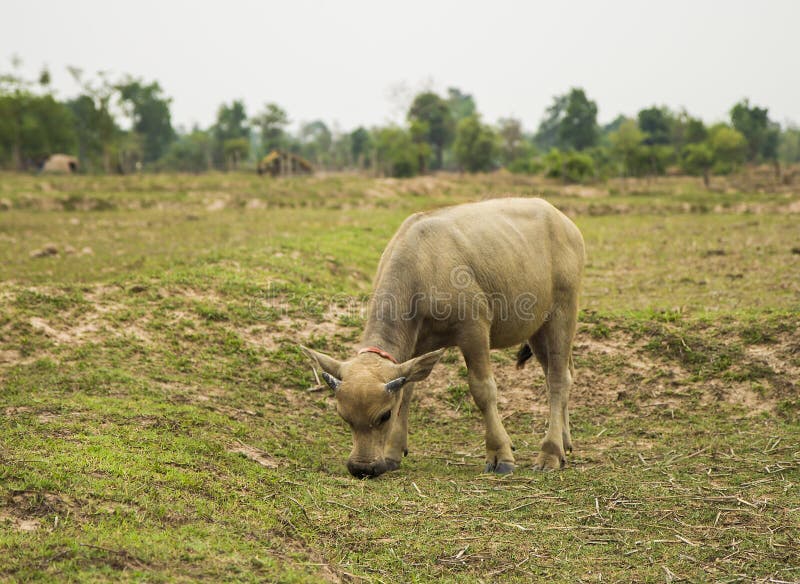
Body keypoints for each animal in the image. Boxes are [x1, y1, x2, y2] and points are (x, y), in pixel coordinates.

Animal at [301, 197, 585, 478]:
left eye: (384, 415)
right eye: (344, 416)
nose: (362, 468)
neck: (423, 267)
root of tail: (565, 222)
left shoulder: (474, 330)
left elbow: (483, 390)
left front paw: (500, 455)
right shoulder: (415, 346)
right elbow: (407, 392)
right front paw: (393, 453)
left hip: (562, 311)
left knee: (558, 379)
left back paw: (550, 452)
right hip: (537, 328)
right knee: (559, 373)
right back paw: (565, 441)